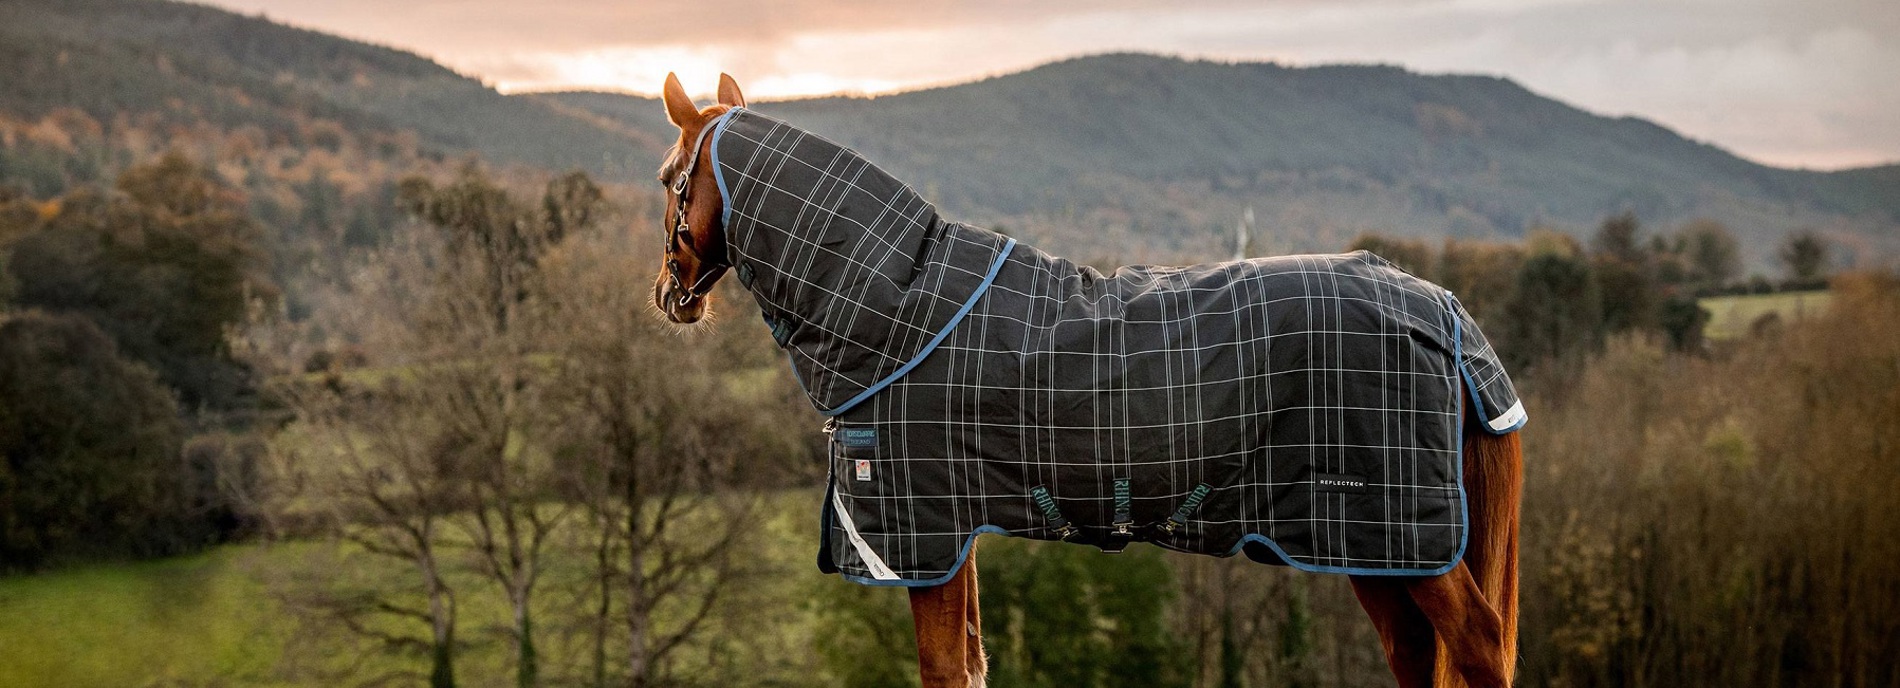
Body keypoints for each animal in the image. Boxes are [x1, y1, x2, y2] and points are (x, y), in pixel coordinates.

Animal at [653, 73, 1524, 688]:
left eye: (668, 177)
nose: (668, 296)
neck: (903, 309)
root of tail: (1439, 306)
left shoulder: (922, 536)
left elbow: (942, 669)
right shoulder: (957, 536)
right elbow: (970, 667)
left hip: (1400, 532)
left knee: (1480, 650)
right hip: (1369, 546)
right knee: (1419, 656)